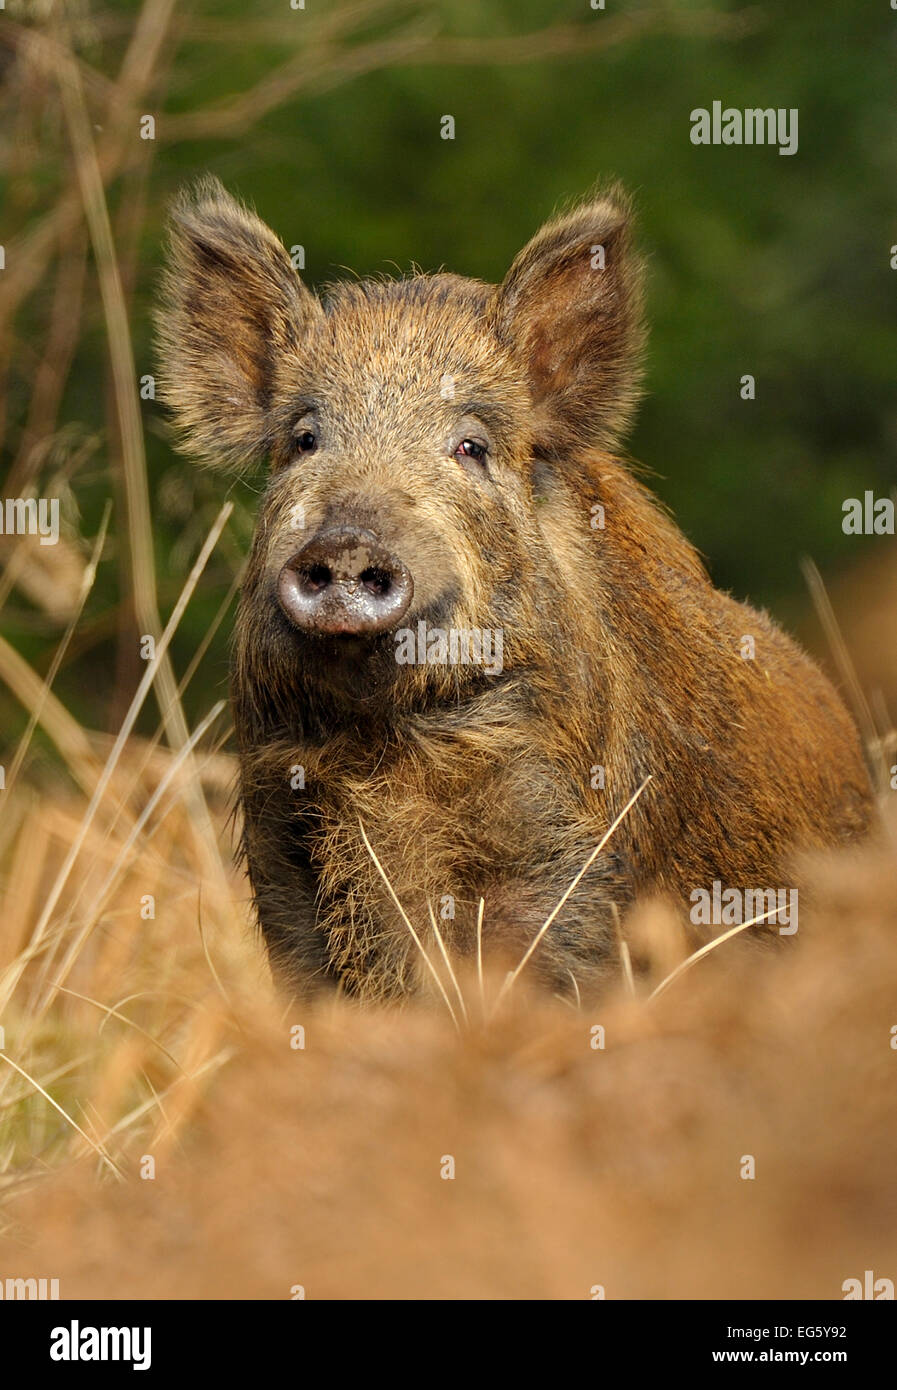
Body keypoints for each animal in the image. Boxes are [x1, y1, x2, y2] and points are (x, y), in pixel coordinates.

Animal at [156, 178, 874, 1002]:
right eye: (304, 440)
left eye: (471, 446)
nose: (345, 544)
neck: (390, 747)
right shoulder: (284, 851)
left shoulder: (569, 854)